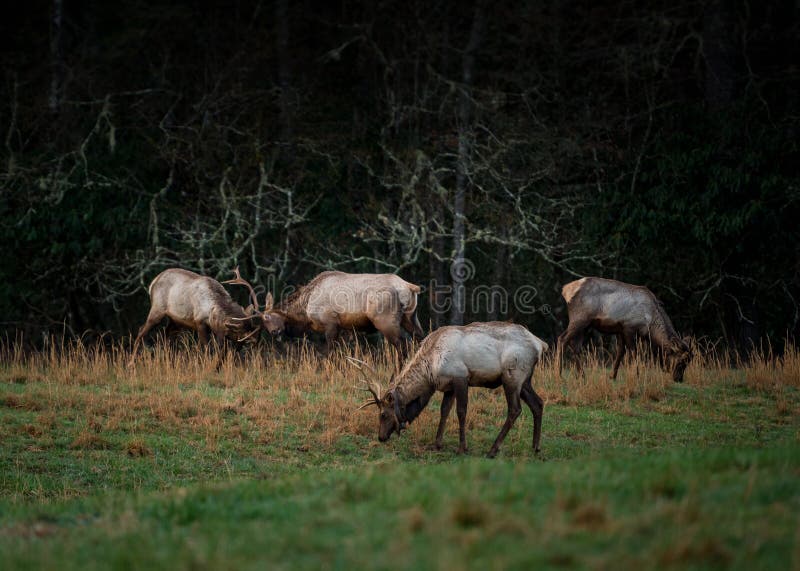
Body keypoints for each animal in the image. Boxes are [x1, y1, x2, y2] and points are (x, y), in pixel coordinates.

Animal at [131, 267, 281, 358]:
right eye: (240, 334)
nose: (256, 341)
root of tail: (153, 282)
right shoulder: (200, 323)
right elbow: (207, 349)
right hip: (157, 308)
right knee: (141, 330)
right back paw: (131, 363)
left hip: (175, 320)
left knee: (166, 337)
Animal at [262, 271, 424, 353]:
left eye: (267, 317)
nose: (274, 332)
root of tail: (410, 287)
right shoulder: (345, 328)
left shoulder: (330, 324)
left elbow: (329, 353)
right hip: (411, 317)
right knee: (420, 338)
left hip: (385, 321)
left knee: (401, 345)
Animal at [352, 321, 548, 458]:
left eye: (383, 414)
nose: (381, 437)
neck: (430, 369)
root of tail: (540, 344)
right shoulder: (448, 387)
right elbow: (444, 411)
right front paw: (437, 444)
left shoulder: (461, 377)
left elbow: (461, 412)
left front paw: (462, 448)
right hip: (525, 381)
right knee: (538, 403)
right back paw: (536, 447)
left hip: (512, 376)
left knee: (515, 409)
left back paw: (493, 450)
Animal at [555, 277, 693, 382]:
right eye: (681, 362)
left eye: (689, 362)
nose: (679, 379)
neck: (650, 323)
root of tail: (565, 290)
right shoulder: (629, 327)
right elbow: (633, 352)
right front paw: (637, 376)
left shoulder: (620, 330)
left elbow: (620, 352)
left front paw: (612, 376)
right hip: (579, 319)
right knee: (562, 339)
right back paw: (559, 375)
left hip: (585, 325)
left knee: (575, 346)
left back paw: (582, 376)